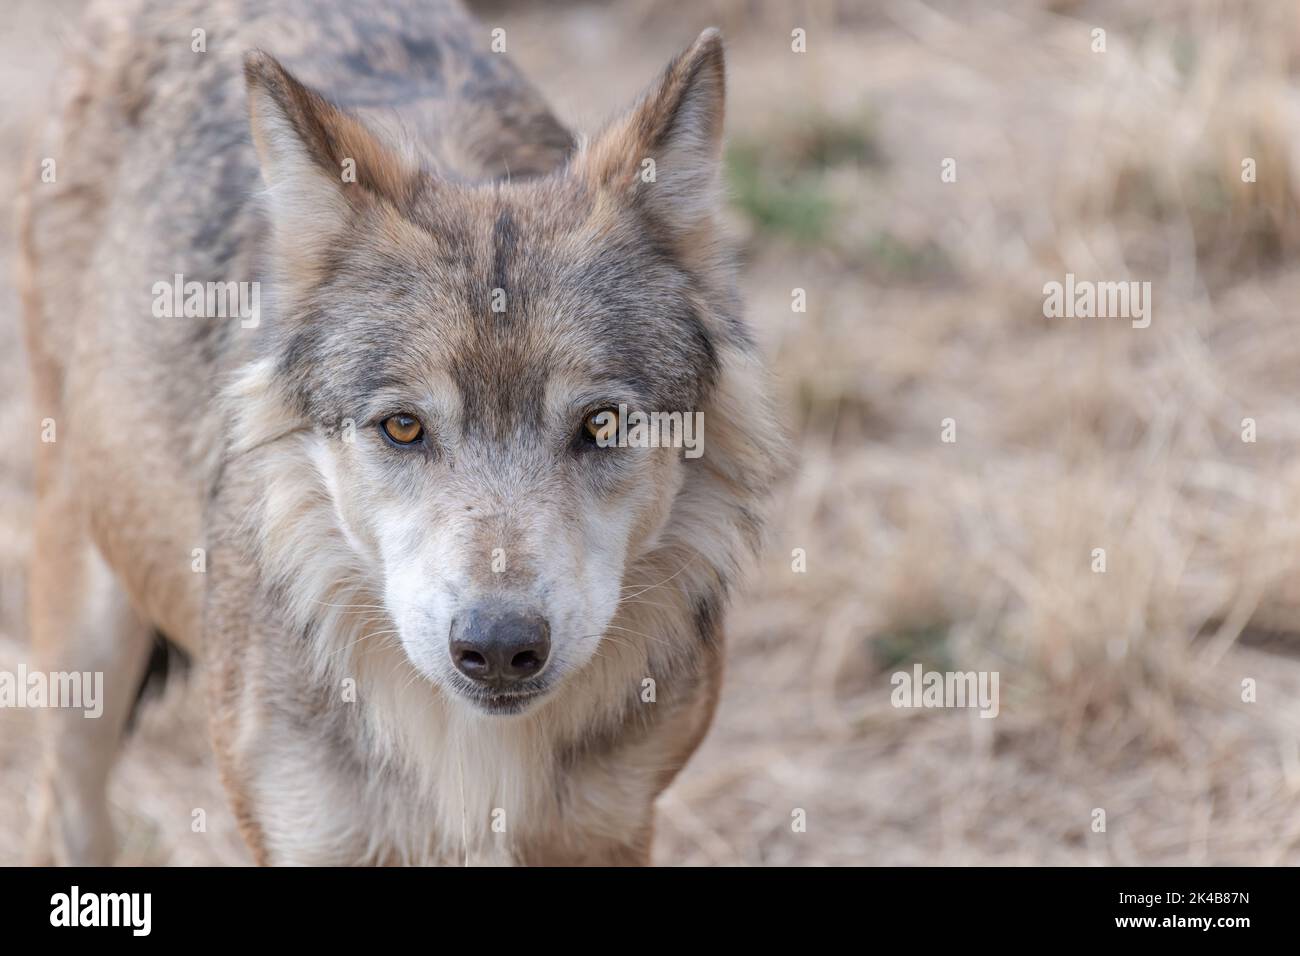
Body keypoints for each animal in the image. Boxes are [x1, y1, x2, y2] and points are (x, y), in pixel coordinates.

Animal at [18, 0, 784, 865]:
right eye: (404, 427)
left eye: (600, 423)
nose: (499, 646)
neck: (474, 762)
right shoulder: (307, 836)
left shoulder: (609, 831)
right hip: (84, 647)